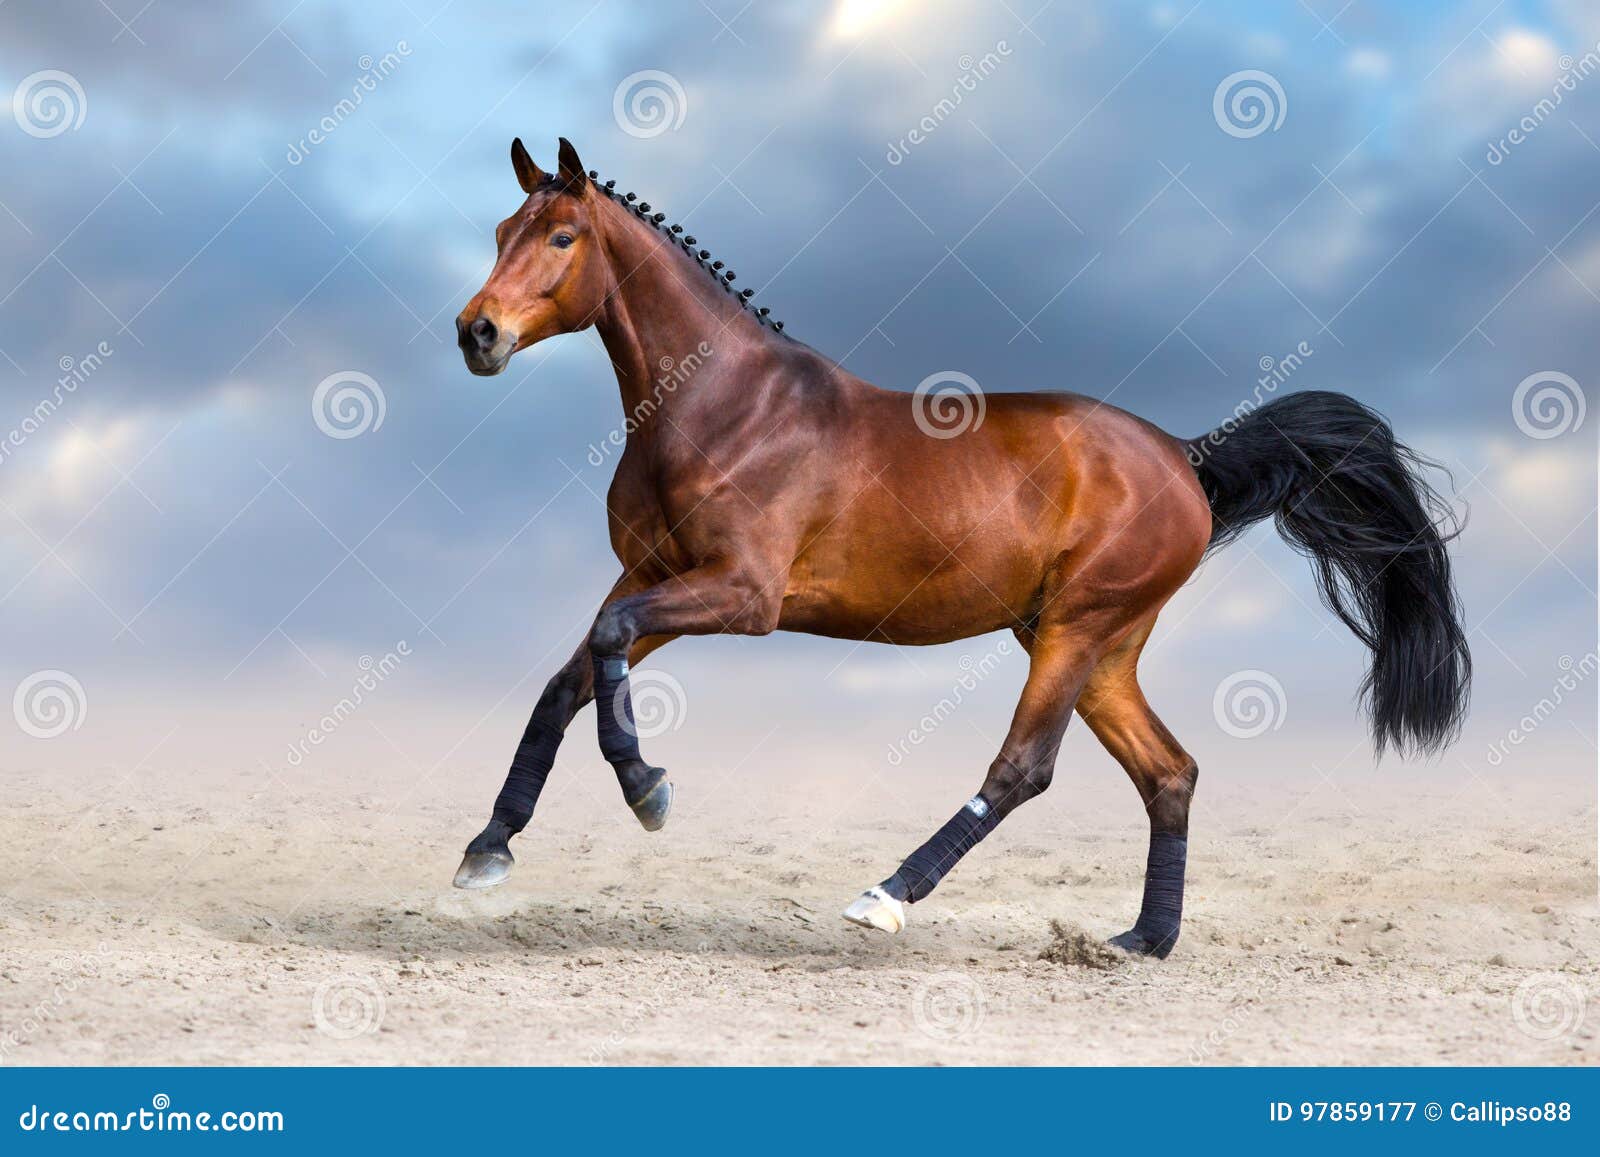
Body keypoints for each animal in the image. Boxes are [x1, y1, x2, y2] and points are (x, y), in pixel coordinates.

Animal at [449, 137, 1470, 957]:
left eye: (562, 238)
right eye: (501, 227)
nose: (476, 333)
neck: (723, 405)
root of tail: (1184, 457)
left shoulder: (741, 594)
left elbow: (609, 643)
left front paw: (648, 791)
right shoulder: (655, 574)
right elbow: (571, 679)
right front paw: (488, 848)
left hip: (1076, 627)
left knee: (1025, 768)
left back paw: (887, 896)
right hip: (1097, 646)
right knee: (1168, 772)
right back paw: (1142, 940)